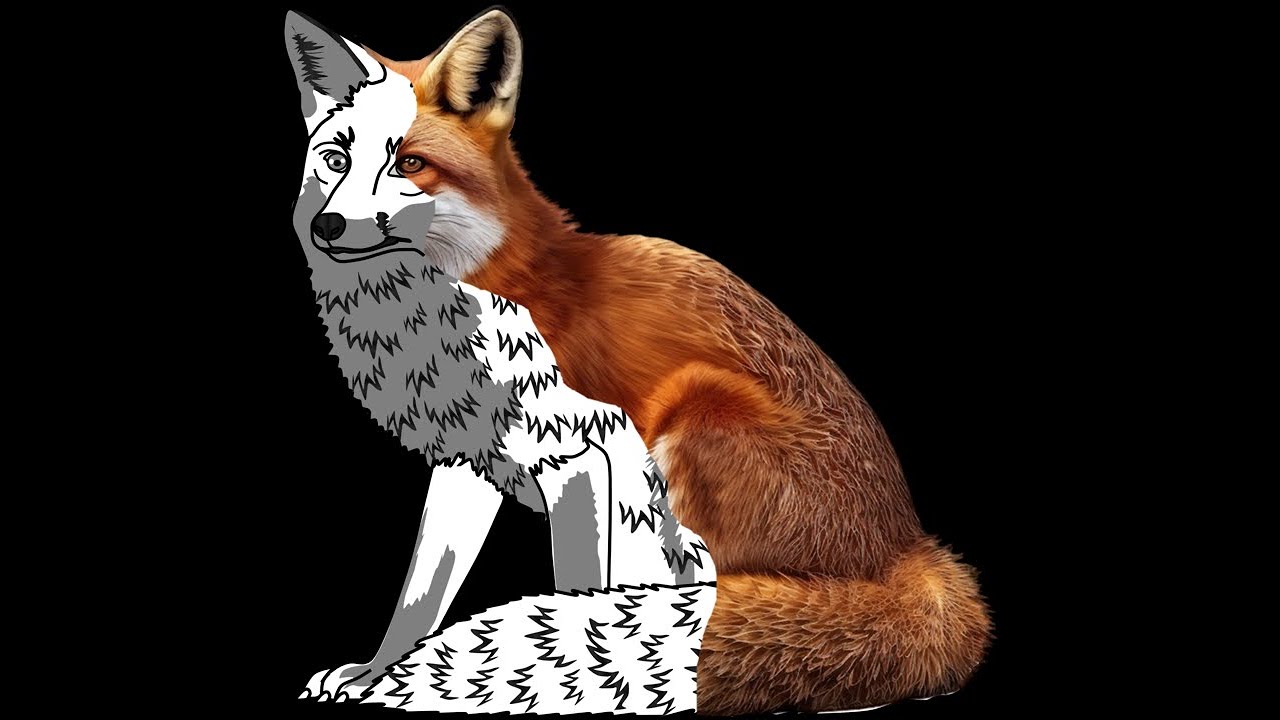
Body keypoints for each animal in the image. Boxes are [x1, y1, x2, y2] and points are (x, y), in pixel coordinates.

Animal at [284, 7, 990, 715]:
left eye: (410, 162)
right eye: (335, 159)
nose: (328, 227)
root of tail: (908, 546)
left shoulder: (576, 454)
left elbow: (573, 594)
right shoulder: (466, 457)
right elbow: (420, 595)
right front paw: (375, 672)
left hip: (691, 418)